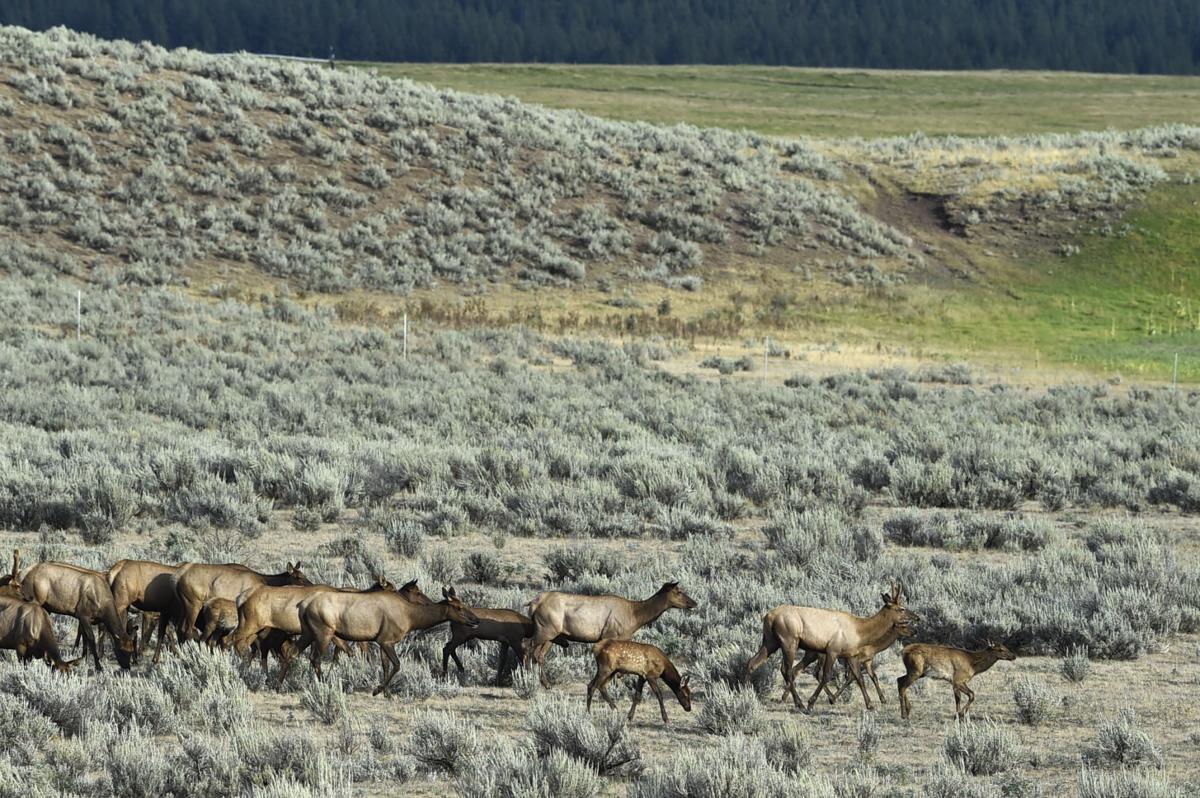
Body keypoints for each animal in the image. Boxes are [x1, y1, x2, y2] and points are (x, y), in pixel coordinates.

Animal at [173, 561, 310, 641]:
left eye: (304, 575)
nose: (311, 585)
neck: (266, 581)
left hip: (183, 605)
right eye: (298, 577)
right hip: (193, 603)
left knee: (179, 627)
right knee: (188, 629)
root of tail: (178, 577)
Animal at [290, 586, 480, 695]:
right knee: (315, 658)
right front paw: (378, 690)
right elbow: (397, 665)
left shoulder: (381, 641)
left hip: (308, 632)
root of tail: (302, 605)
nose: (476, 620)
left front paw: (385, 691)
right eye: (458, 607)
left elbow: (386, 666)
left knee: (292, 653)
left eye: (464, 604)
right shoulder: (387, 641)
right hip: (324, 632)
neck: (411, 619)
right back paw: (324, 684)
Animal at [524, 582, 698, 687]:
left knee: (539, 655)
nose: (694, 603)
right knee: (527, 646)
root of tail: (533, 603)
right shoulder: (611, 635)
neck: (635, 617)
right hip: (545, 629)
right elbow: (617, 670)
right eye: (679, 591)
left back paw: (545, 683)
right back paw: (526, 676)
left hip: (552, 634)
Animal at [746, 583, 918, 712]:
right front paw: (812, 702)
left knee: (752, 662)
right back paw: (800, 703)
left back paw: (748, 693)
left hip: (770, 641)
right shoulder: (832, 650)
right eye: (901, 609)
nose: (917, 617)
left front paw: (870, 704)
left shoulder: (851, 655)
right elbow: (826, 675)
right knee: (786, 669)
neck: (860, 632)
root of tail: (768, 617)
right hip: (789, 641)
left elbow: (859, 678)